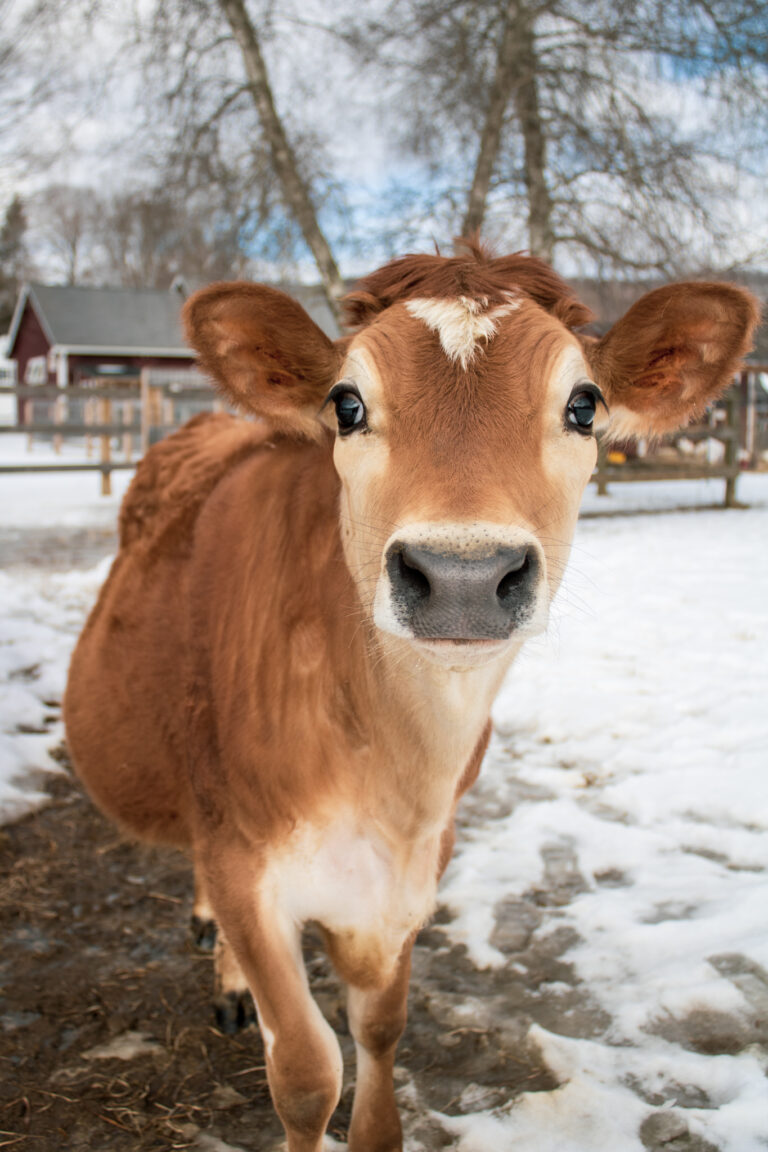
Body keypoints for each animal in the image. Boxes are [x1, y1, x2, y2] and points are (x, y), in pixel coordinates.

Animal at [64, 243, 758, 1152]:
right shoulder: (247, 864)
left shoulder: (413, 878)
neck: (391, 775)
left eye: (583, 405)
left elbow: (381, 1033)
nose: (463, 576)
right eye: (347, 403)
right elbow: (307, 1074)